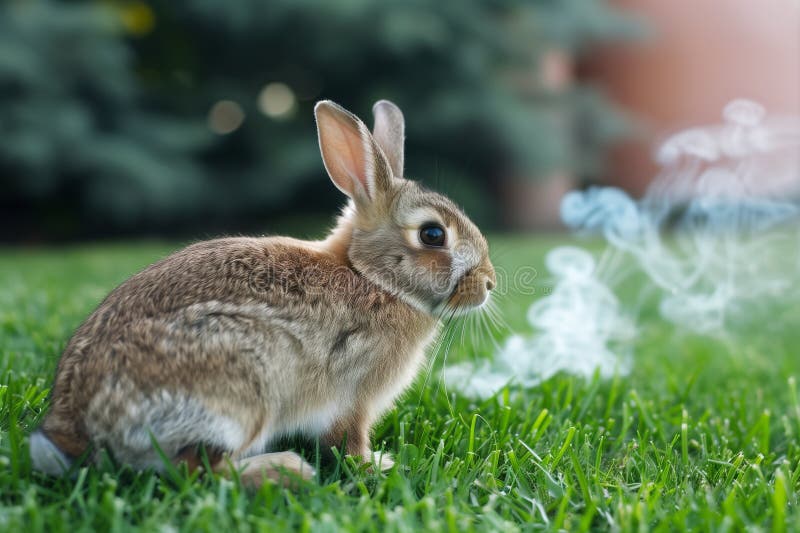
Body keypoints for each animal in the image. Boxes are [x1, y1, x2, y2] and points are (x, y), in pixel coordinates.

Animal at [30, 99, 496, 487]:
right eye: (433, 234)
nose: (488, 284)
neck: (371, 277)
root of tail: (76, 428)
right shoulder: (353, 398)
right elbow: (348, 442)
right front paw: (376, 465)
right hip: (243, 387)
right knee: (198, 471)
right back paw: (287, 470)